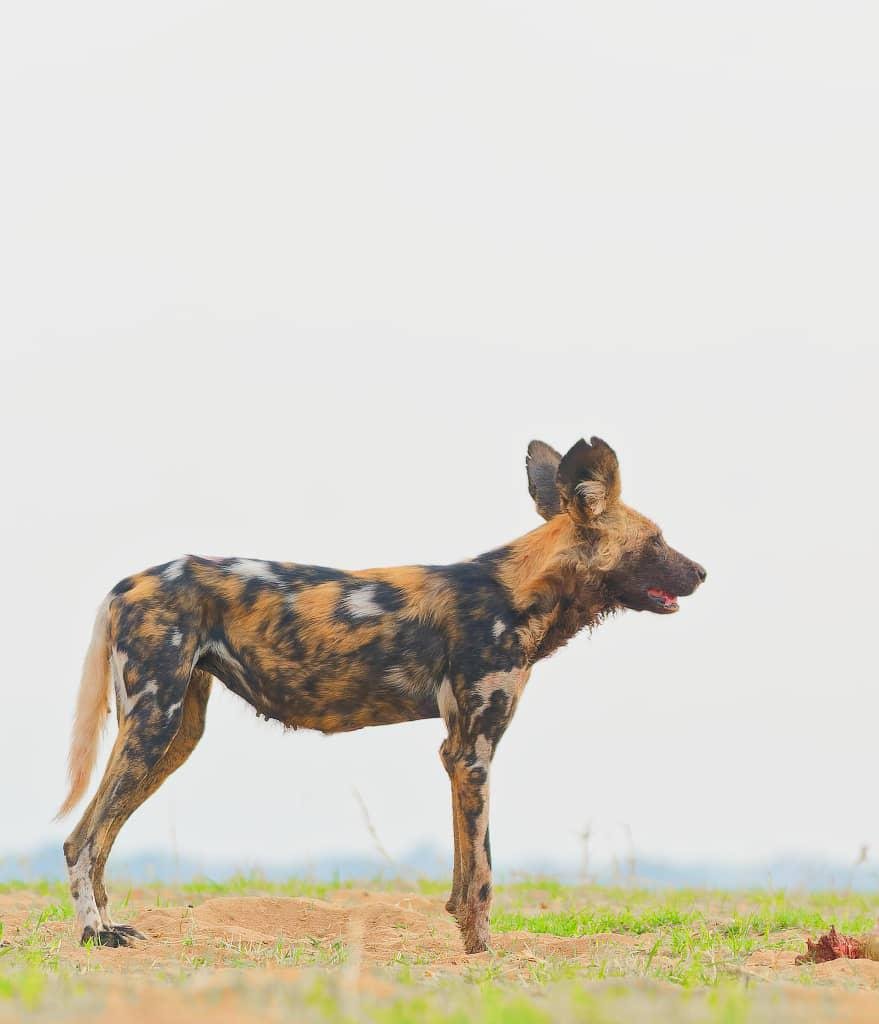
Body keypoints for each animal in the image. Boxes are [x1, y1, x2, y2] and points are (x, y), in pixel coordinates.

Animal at [58, 438, 700, 950]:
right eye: (656, 539)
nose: (703, 573)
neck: (523, 591)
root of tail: (125, 584)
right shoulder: (475, 752)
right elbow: (484, 872)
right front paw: (481, 951)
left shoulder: (457, 753)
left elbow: (464, 869)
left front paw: (462, 935)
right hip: (153, 725)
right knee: (80, 840)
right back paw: (95, 936)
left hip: (174, 736)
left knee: (100, 839)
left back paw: (110, 928)